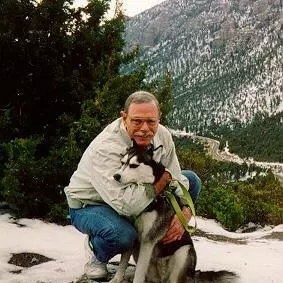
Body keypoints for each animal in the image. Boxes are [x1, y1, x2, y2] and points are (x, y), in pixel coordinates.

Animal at [110, 146, 199, 283]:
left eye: (134, 165)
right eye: (122, 162)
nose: (116, 176)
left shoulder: (148, 240)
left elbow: (139, 271)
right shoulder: (134, 236)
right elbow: (123, 262)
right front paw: (117, 279)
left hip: (183, 252)